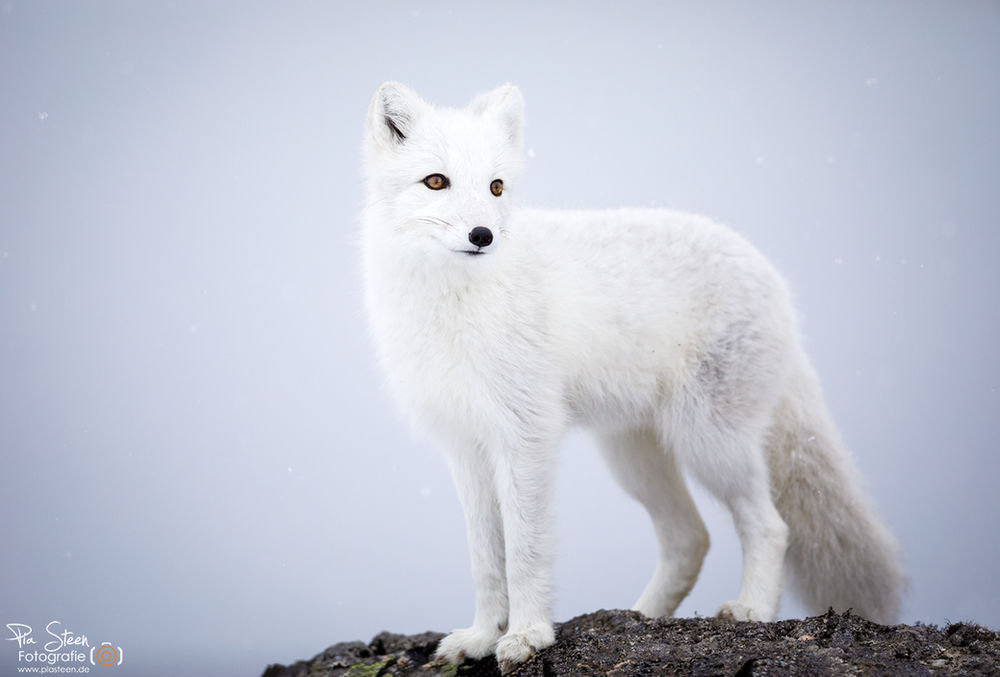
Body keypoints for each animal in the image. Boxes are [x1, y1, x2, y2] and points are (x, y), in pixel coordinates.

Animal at [360, 81, 905, 671]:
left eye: (496, 187)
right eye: (436, 181)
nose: (482, 234)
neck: (453, 303)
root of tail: (771, 276)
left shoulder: (526, 435)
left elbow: (524, 549)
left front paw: (528, 636)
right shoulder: (465, 446)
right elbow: (486, 557)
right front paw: (481, 636)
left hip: (710, 442)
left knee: (769, 525)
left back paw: (752, 609)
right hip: (634, 457)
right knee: (690, 539)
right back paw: (641, 617)